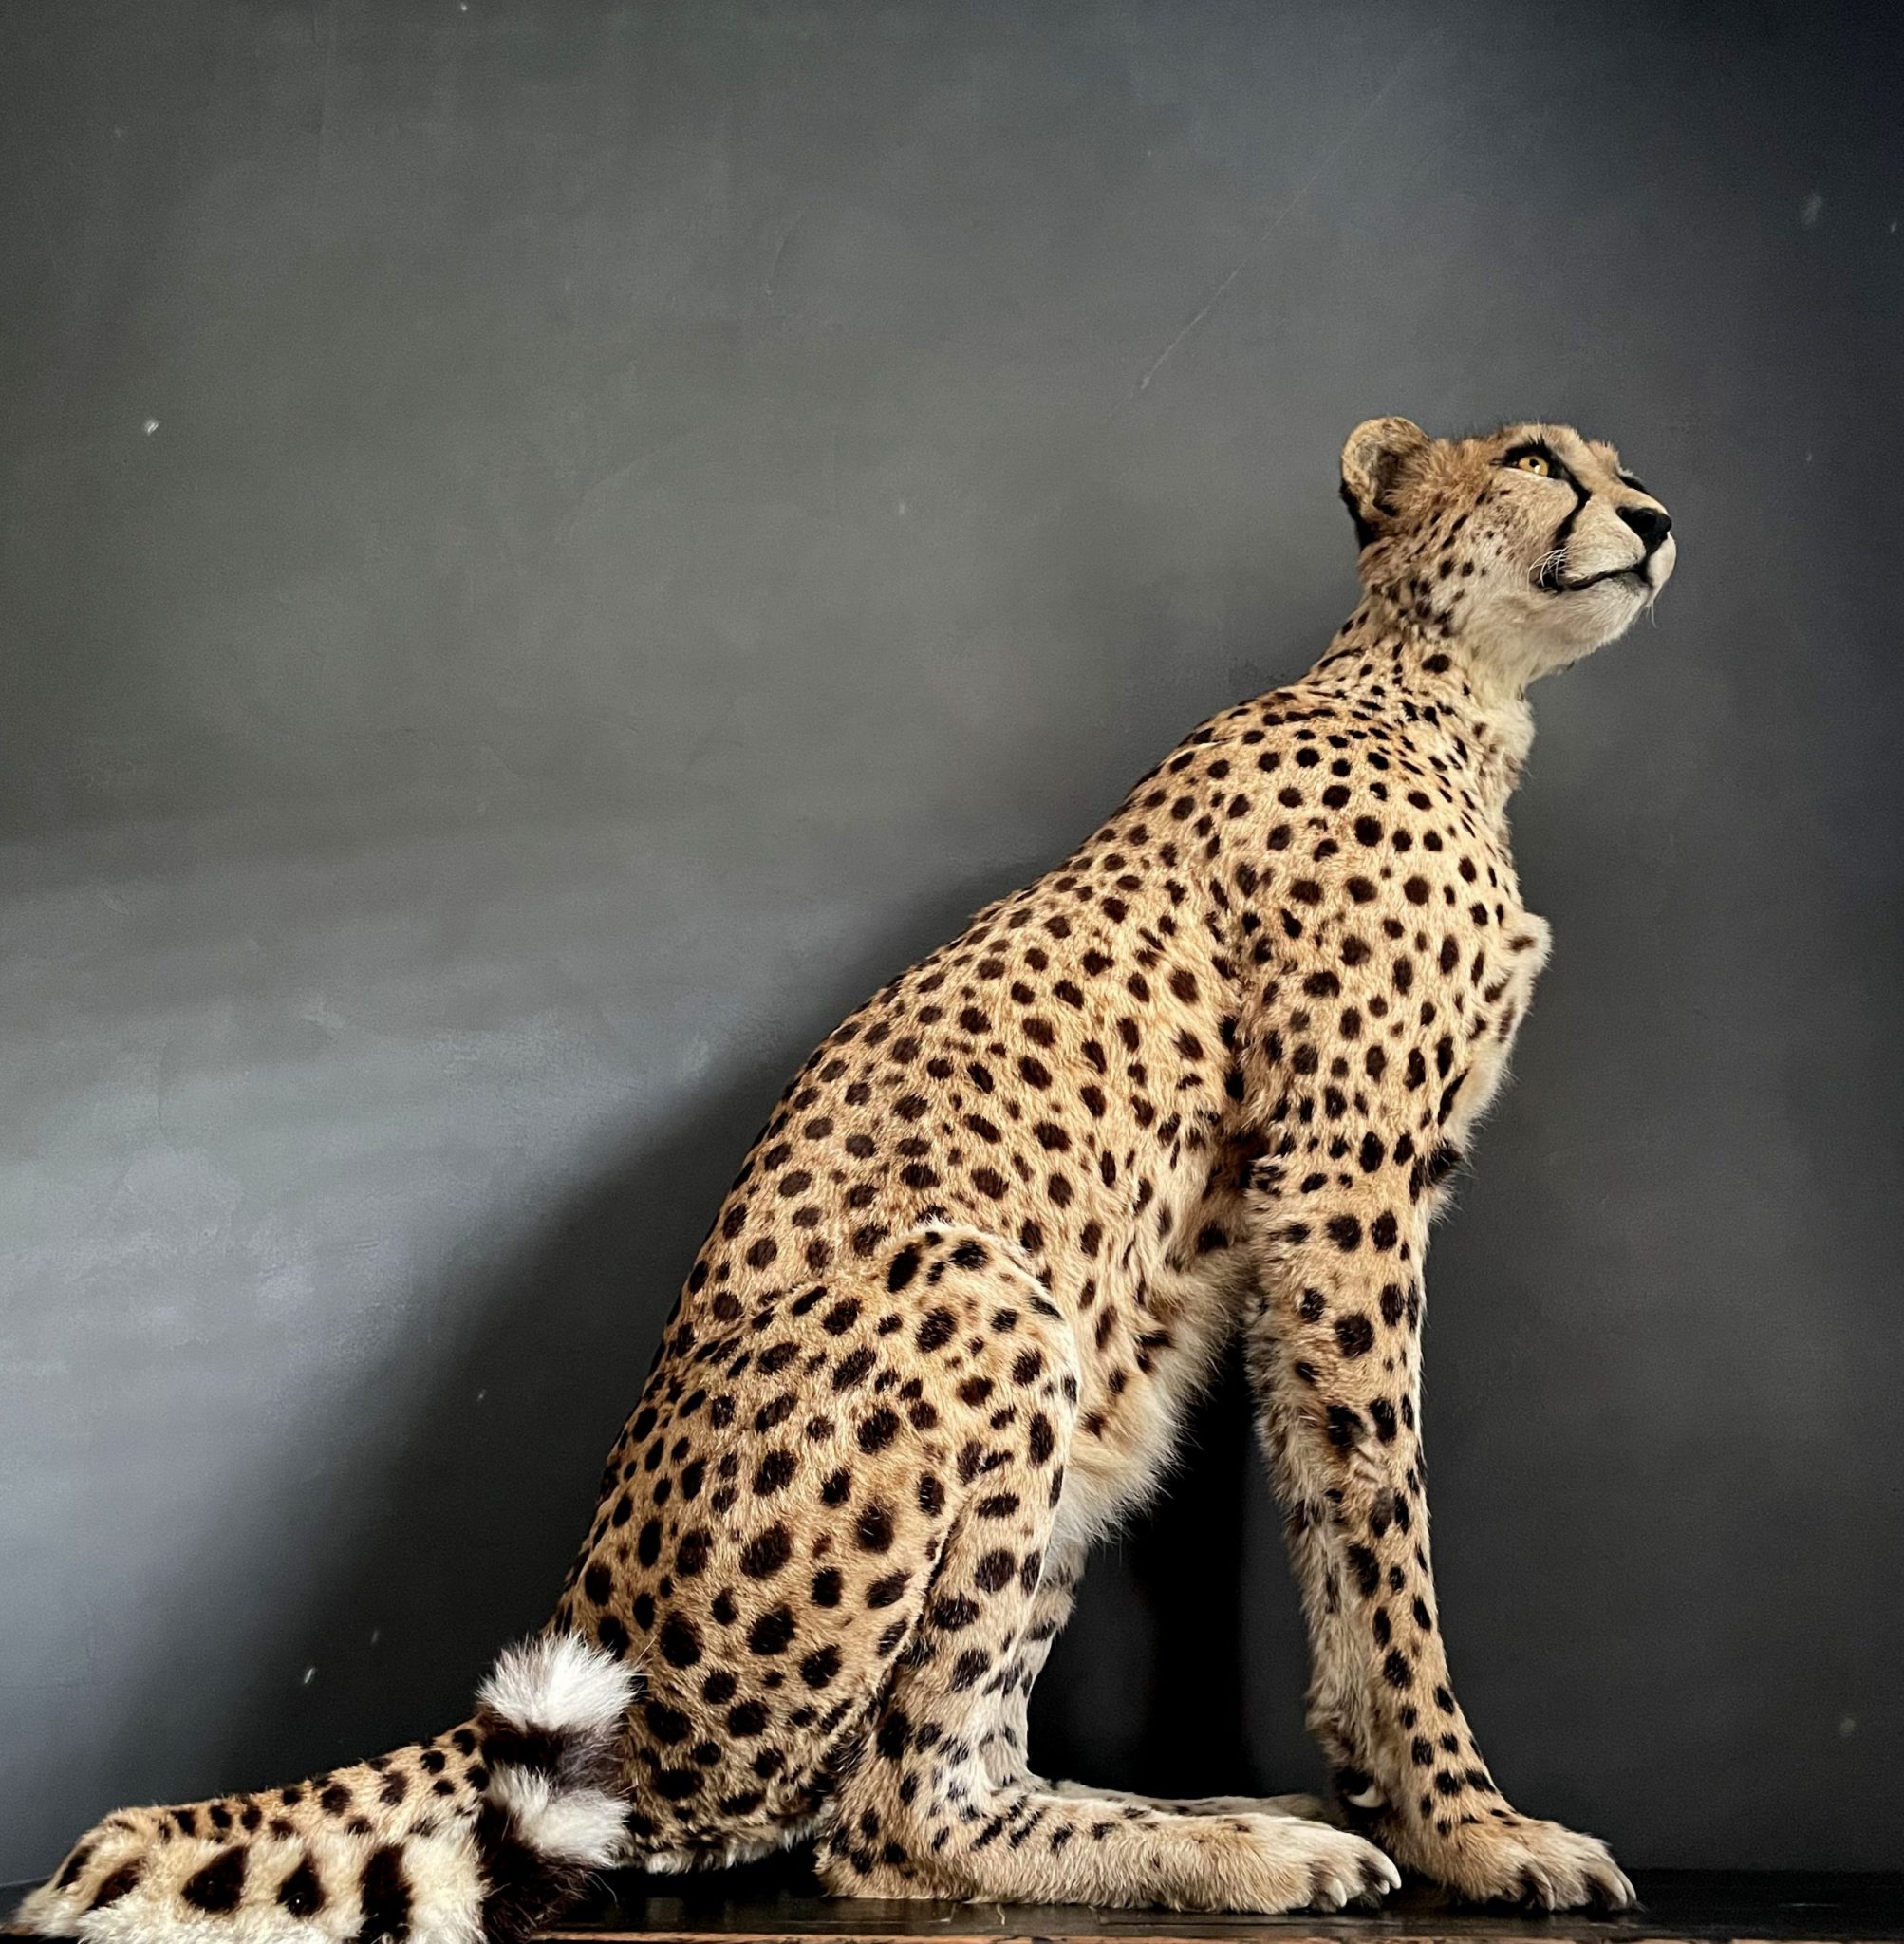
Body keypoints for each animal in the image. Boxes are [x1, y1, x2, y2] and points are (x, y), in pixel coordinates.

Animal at [20, 415, 1675, 1943]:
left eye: (1609, 459)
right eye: (1536, 460)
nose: (1655, 516)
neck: (1444, 697)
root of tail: (584, 1614)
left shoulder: (1323, 1213)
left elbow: (1331, 1497)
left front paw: (1391, 1792)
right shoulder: (1340, 1187)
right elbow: (1383, 1509)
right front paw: (1470, 1826)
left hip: (1093, 1398)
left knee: (947, 1754)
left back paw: (1200, 1810)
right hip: (985, 1289)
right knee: (888, 1820)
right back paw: (1233, 1849)